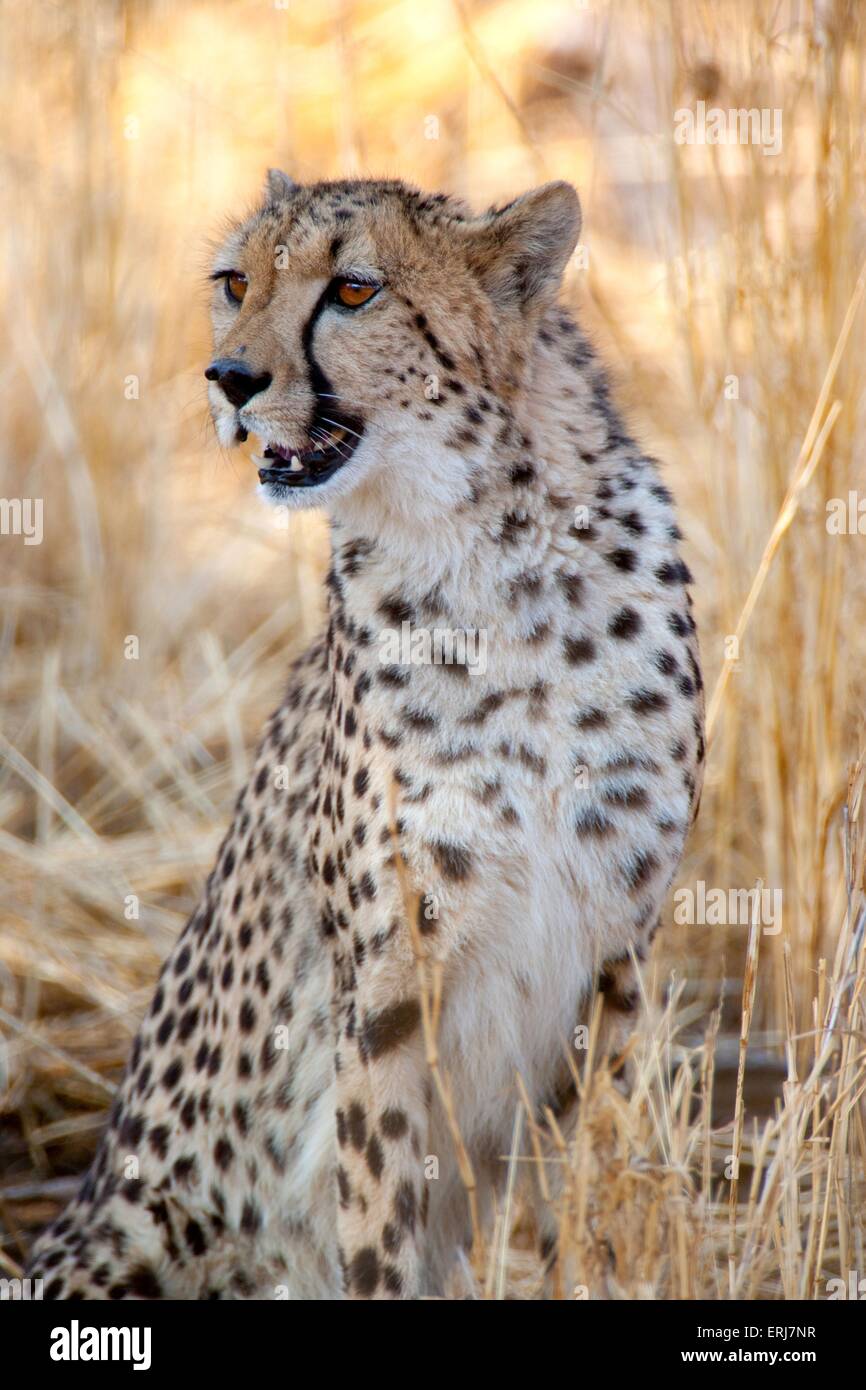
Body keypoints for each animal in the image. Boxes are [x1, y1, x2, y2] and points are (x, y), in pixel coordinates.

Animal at [25, 170, 704, 1300]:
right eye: (234, 281)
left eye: (352, 290)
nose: (229, 377)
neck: (495, 563)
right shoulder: (384, 993)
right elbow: (380, 1219)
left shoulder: (617, 961)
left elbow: (588, 1197)